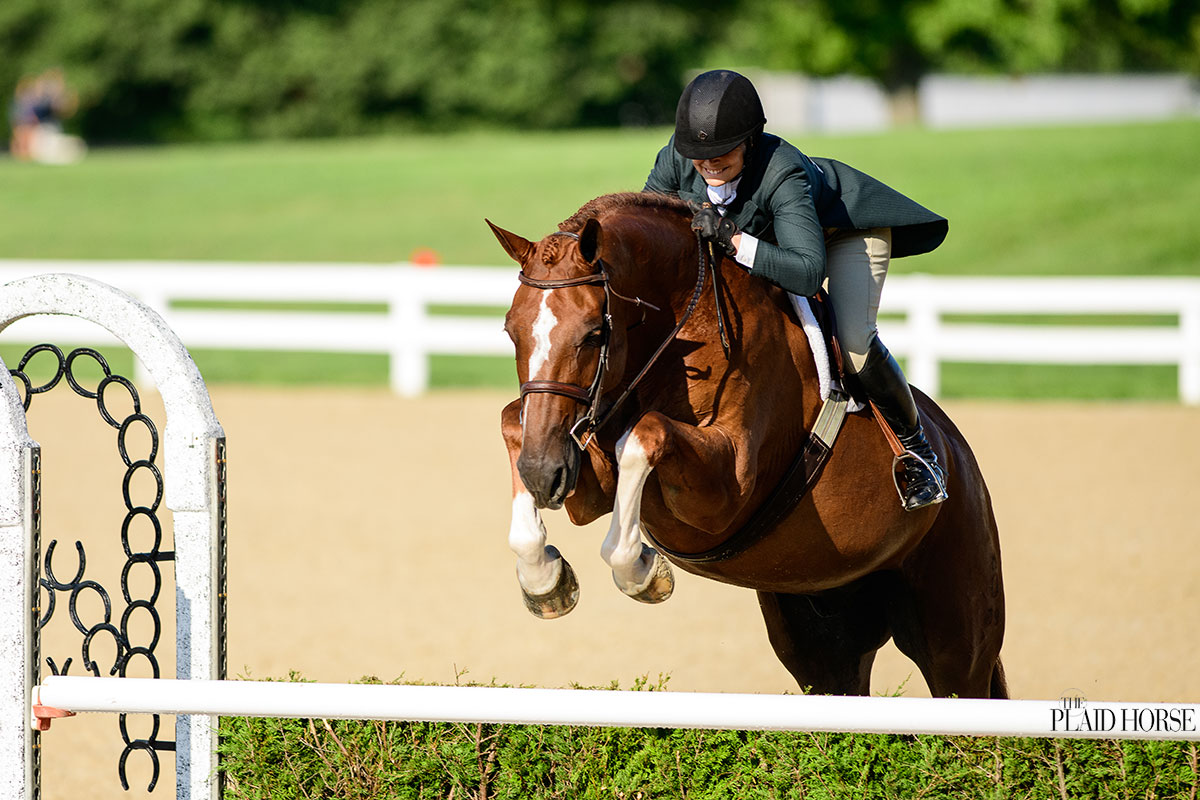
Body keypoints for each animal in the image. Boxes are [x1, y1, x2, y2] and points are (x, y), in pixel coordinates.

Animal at [488, 192, 1006, 698]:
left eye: (595, 333)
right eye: (511, 330)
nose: (542, 474)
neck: (679, 331)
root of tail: (957, 452)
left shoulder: (725, 492)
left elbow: (645, 435)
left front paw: (642, 570)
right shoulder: (584, 475)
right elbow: (513, 421)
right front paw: (545, 581)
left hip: (954, 633)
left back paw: (921, 475)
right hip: (824, 637)